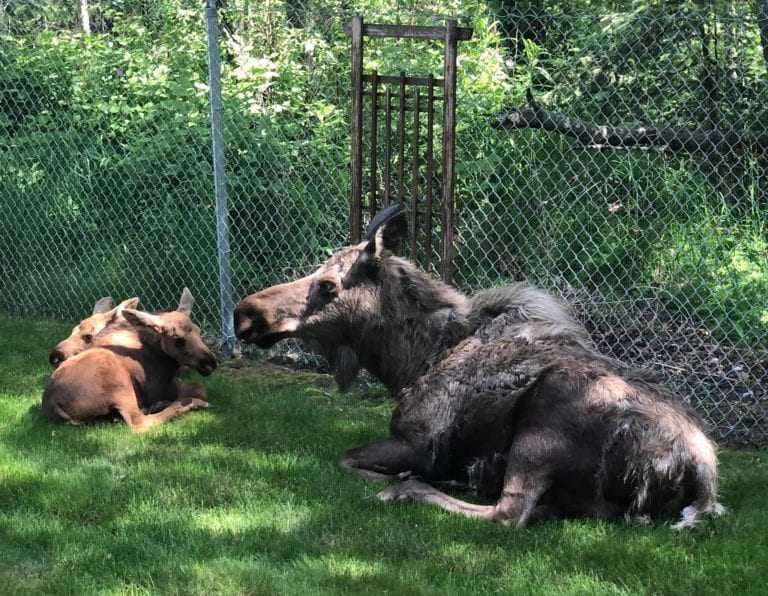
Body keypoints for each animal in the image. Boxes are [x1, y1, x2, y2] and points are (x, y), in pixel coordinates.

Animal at [42, 288, 217, 432]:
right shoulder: (158, 389)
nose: (211, 363)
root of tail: (52, 405)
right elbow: (200, 389)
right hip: (120, 382)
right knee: (139, 422)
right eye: (178, 340)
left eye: (199, 331)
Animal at [234, 203, 724, 529]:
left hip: (546, 420)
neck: (411, 364)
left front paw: (405, 476)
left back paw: (409, 489)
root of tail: (699, 470)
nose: (245, 314)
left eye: (329, 285)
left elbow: (346, 459)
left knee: (508, 515)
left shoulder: (419, 442)